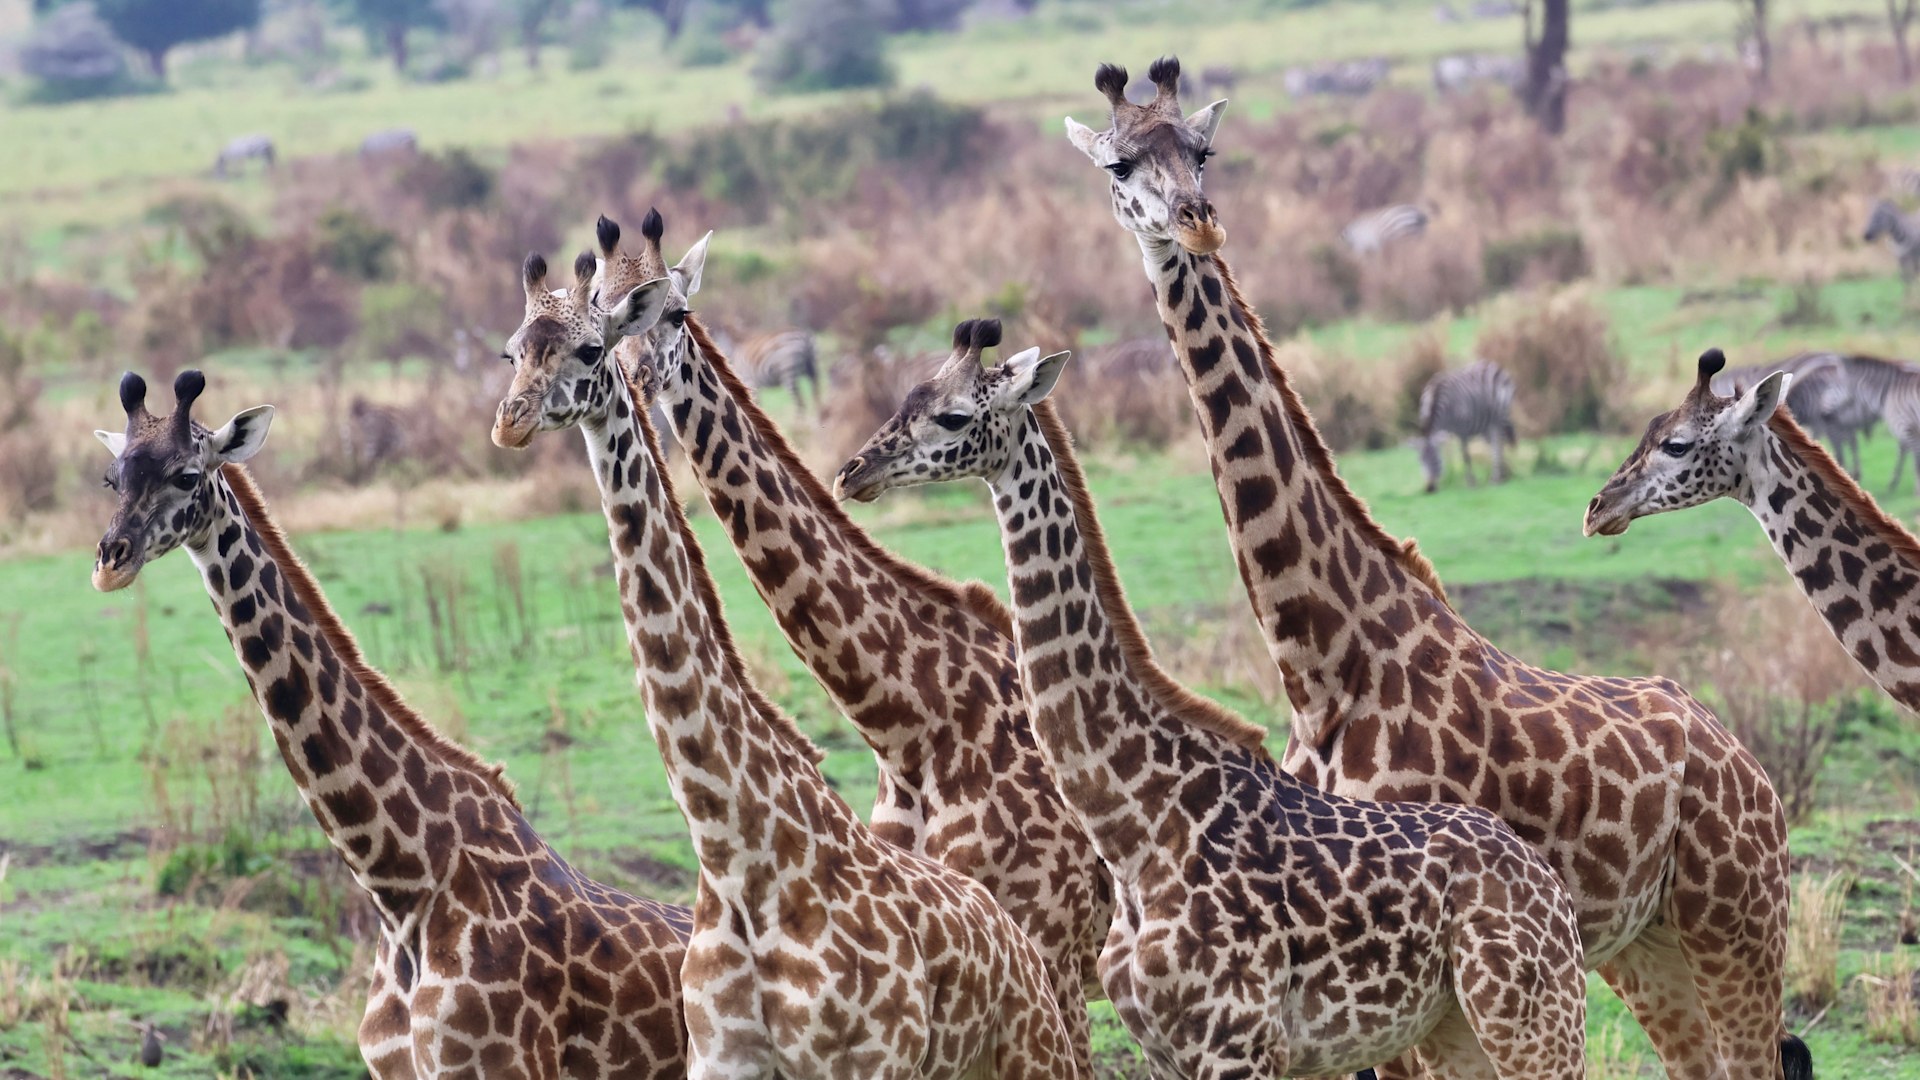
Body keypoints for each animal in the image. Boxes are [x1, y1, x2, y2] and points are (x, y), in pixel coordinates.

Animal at [488, 250, 1080, 1079]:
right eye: (513, 350)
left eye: (588, 348)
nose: (509, 421)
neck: (739, 851)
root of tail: (1008, 942)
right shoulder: (720, 1057)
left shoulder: (864, 1061)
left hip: (1044, 1026)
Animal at [831, 319, 1588, 1079]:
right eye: (907, 396)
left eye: (954, 415)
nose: (853, 471)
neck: (1136, 828)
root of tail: (1549, 883)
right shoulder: (1166, 1048)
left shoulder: (1240, 1043)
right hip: (1458, 1029)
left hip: (1534, 1021)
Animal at [1064, 57, 1805, 1080]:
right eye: (1120, 162)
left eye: (1203, 150)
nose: (1195, 219)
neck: (1320, 658)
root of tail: (1747, 761)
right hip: (1646, 948)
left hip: (1733, 921)